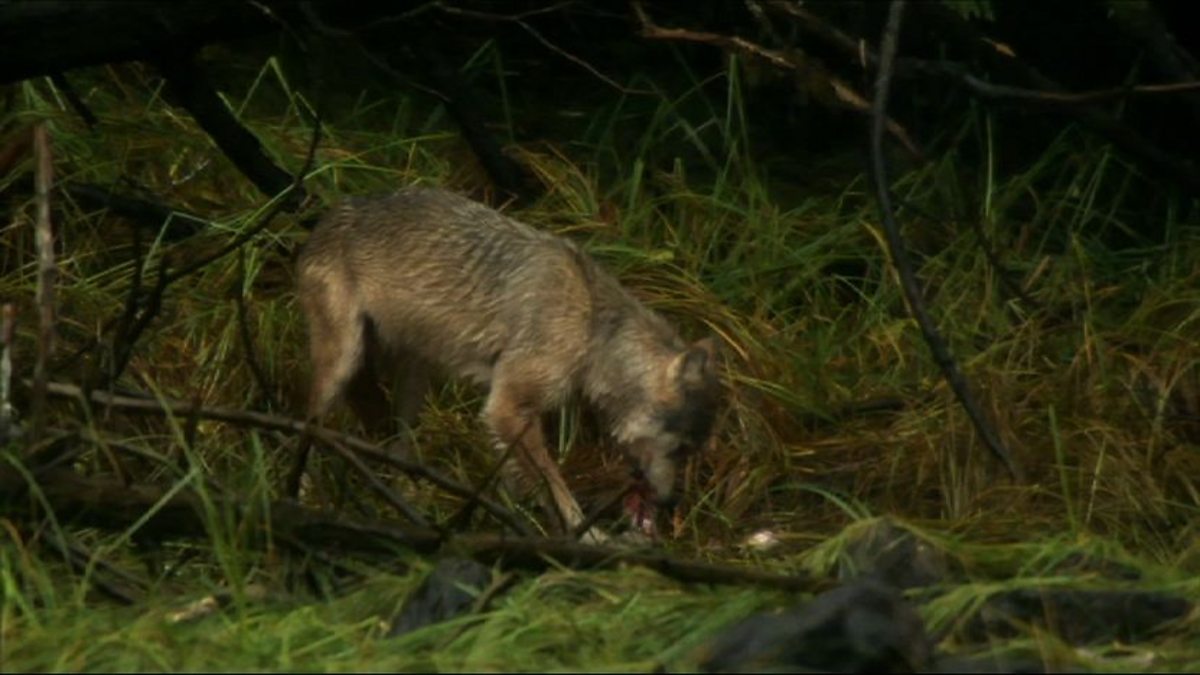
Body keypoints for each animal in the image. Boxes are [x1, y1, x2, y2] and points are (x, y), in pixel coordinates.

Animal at [295, 186, 721, 540]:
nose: (670, 503)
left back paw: (409, 496)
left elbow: (519, 480)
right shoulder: (507, 408)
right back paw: (300, 496)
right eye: (682, 450)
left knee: (398, 448)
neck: (594, 332)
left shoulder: (508, 418)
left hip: (414, 382)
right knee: (307, 426)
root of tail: (326, 217)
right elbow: (554, 485)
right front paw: (586, 538)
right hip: (341, 365)